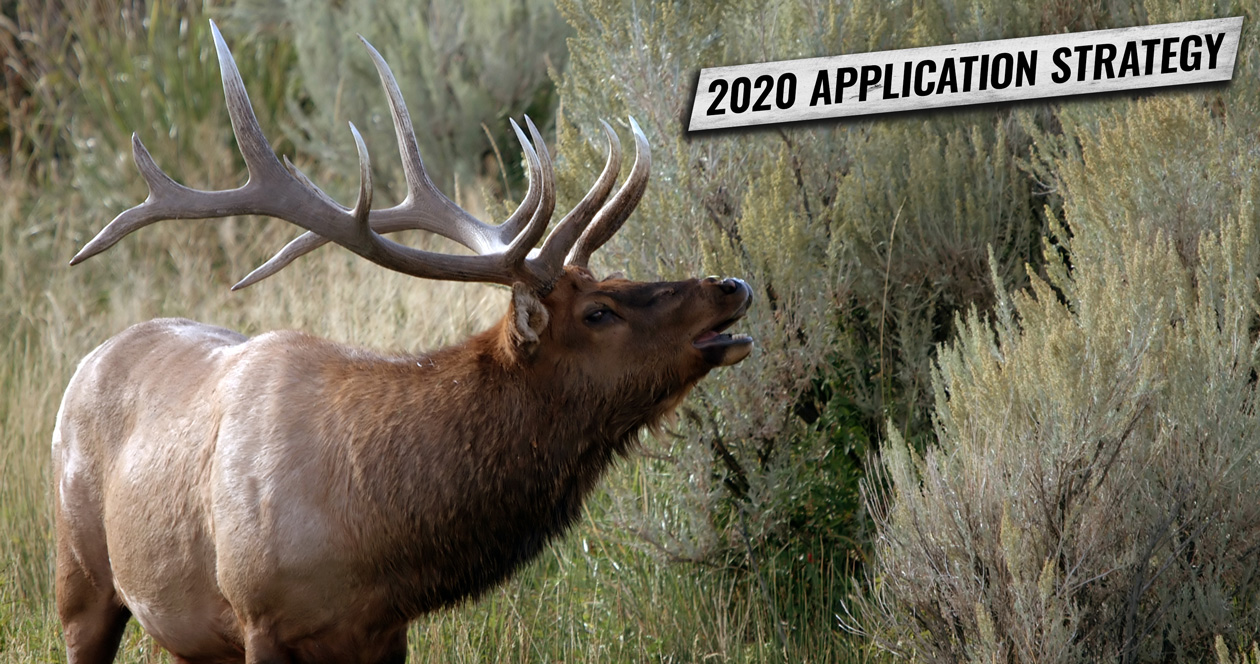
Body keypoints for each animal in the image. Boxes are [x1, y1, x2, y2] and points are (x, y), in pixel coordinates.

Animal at [52, 21, 752, 664]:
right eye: (599, 312)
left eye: (617, 278)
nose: (732, 285)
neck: (373, 541)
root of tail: (89, 361)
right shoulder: (256, 615)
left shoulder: (386, 632)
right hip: (80, 577)